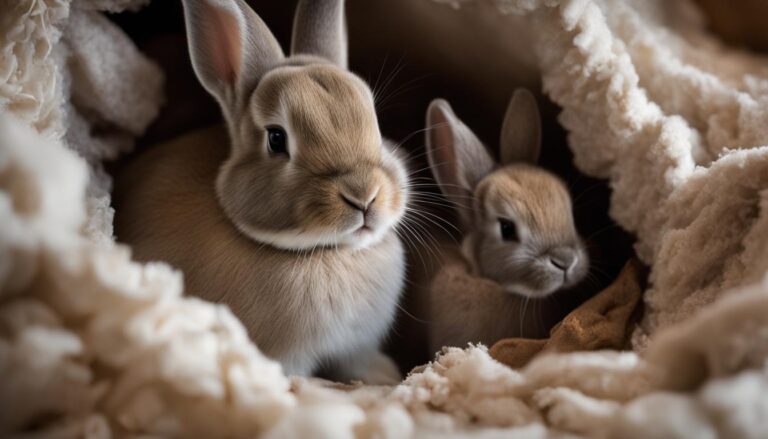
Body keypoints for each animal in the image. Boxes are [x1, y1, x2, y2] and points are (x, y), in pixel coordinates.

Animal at [113, 0, 409, 384]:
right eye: (276, 138)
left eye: (376, 122)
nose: (364, 196)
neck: (327, 251)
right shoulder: (288, 356)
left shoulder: (356, 349)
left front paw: (384, 375)